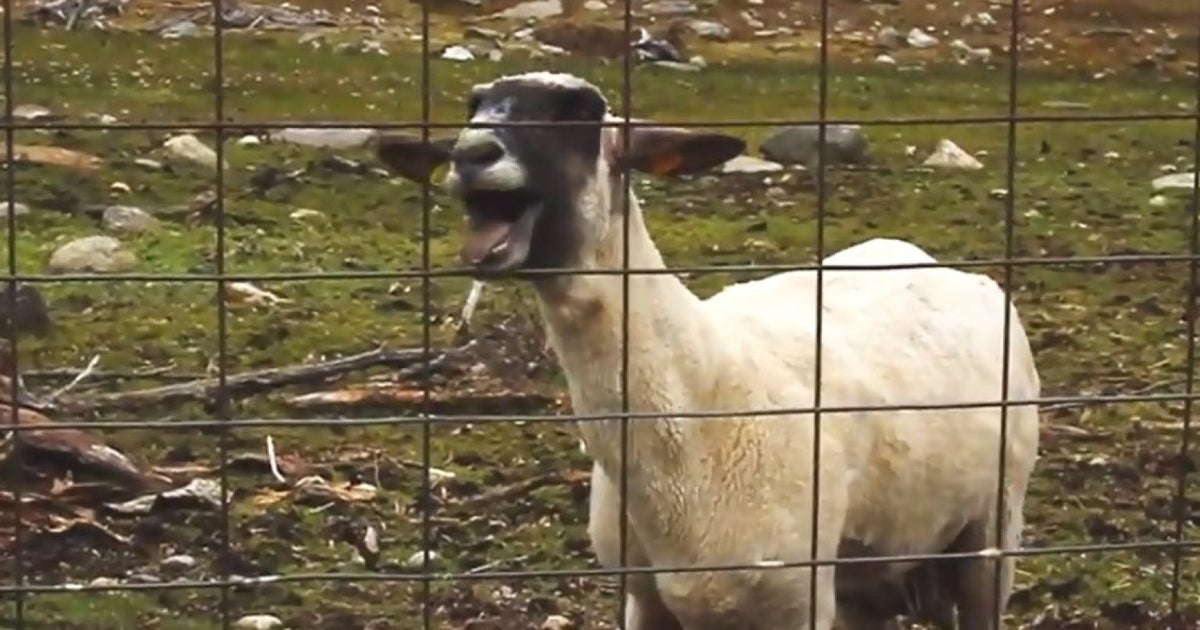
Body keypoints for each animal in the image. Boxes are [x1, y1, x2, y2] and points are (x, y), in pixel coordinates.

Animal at [374, 70, 1042, 630]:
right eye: (474, 104)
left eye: (581, 112)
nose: (471, 154)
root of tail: (933, 261)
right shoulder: (644, 599)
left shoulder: (797, 601)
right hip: (870, 563)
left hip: (994, 526)